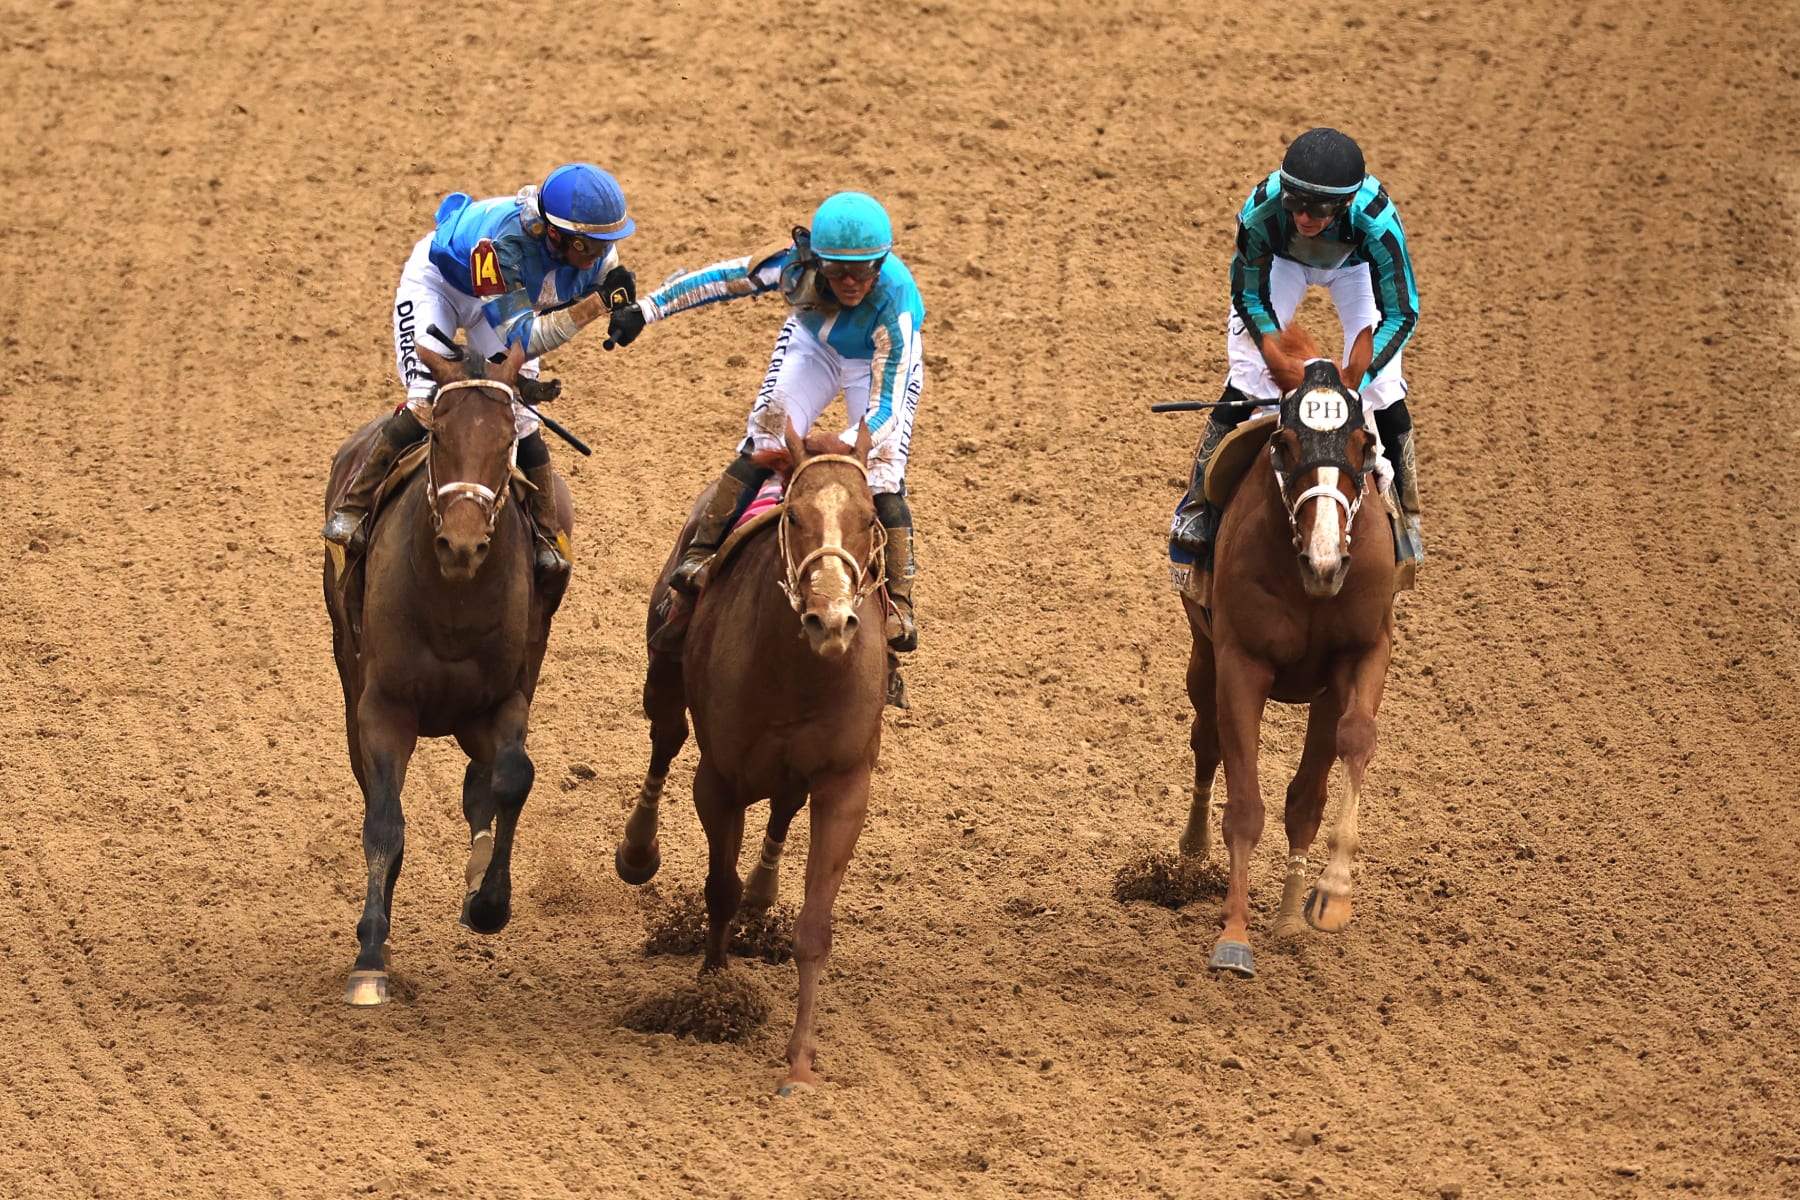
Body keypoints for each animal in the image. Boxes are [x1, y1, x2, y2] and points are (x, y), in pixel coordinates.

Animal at [322, 341, 574, 1006]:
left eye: (509, 441)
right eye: (436, 435)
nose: (461, 544)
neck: (453, 603)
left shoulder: (503, 700)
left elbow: (512, 777)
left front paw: (488, 900)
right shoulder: (383, 706)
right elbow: (384, 820)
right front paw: (371, 957)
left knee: (483, 781)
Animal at [616, 422, 888, 1094]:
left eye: (871, 517)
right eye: (793, 516)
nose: (831, 621)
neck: (798, 675)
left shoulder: (845, 785)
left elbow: (814, 927)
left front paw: (800, 1062)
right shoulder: (720, 779)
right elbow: (719, 886)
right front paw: (713, 993)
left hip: (796, 772)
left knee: (785, 805)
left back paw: (764, 892)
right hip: (664, 673)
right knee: (664, 742)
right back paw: (637, 850)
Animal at [1179, 324, 1396, 979]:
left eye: (1363, 441)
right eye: (1282, 441)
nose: (1326, 562)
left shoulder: (1365, 651)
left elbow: (1356, 742)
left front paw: (1331, 896)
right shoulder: (1240, 664)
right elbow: (1245, 804)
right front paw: (1233, 936)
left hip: (1324, 692)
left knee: (1306, 797)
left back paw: (1290, 915)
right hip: (1203, 658)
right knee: (1207, 742)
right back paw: (1192, 851)